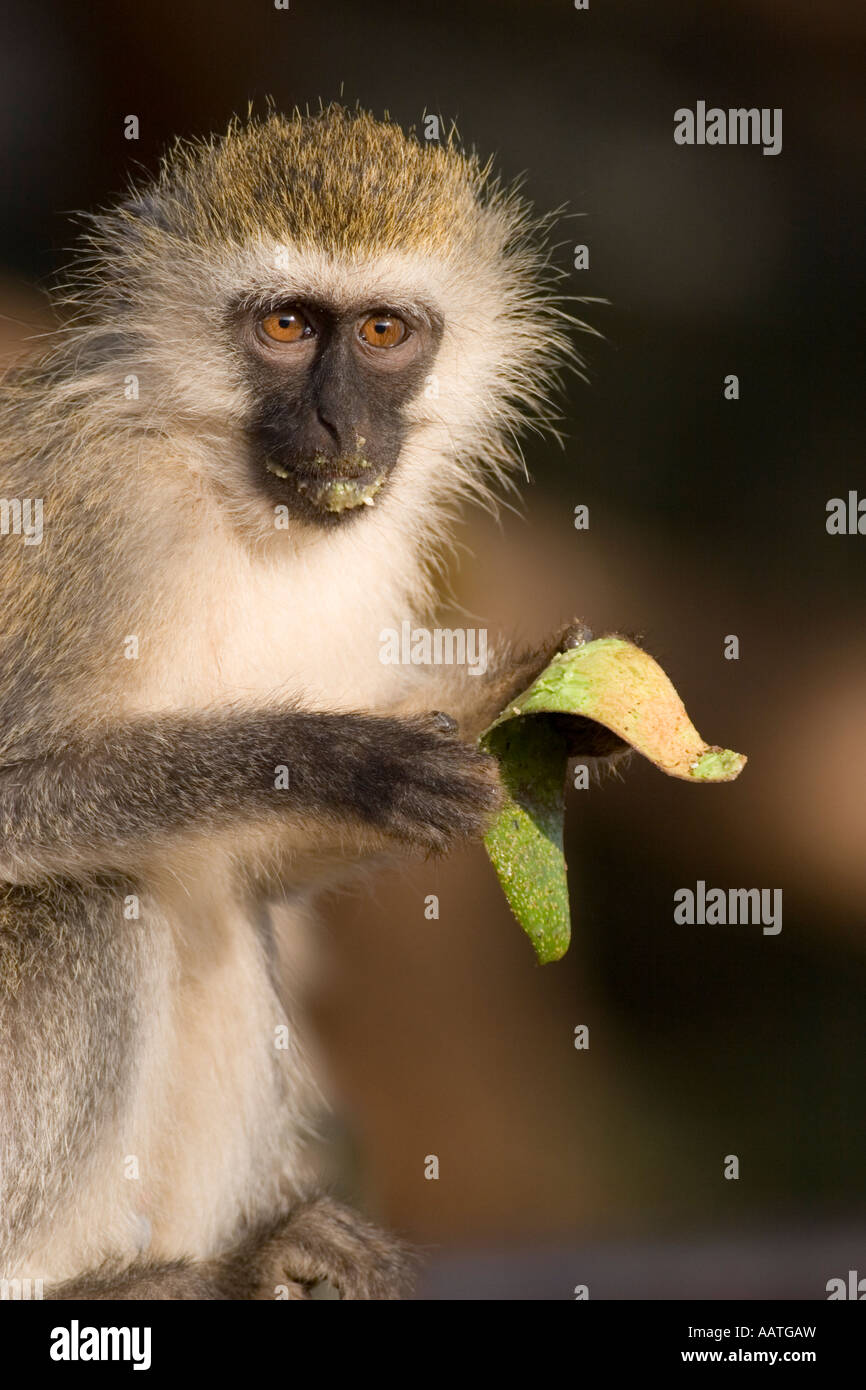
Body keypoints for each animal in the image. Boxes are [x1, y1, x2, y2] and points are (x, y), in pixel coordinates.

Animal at [0, 105, 586, 1299]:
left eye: (381, 333)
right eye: (283, 325)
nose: (337, 422)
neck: (223, 495)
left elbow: (263, 867)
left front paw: (541, 713)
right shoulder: (85, 518)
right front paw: (330, 755)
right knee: (93, 893)